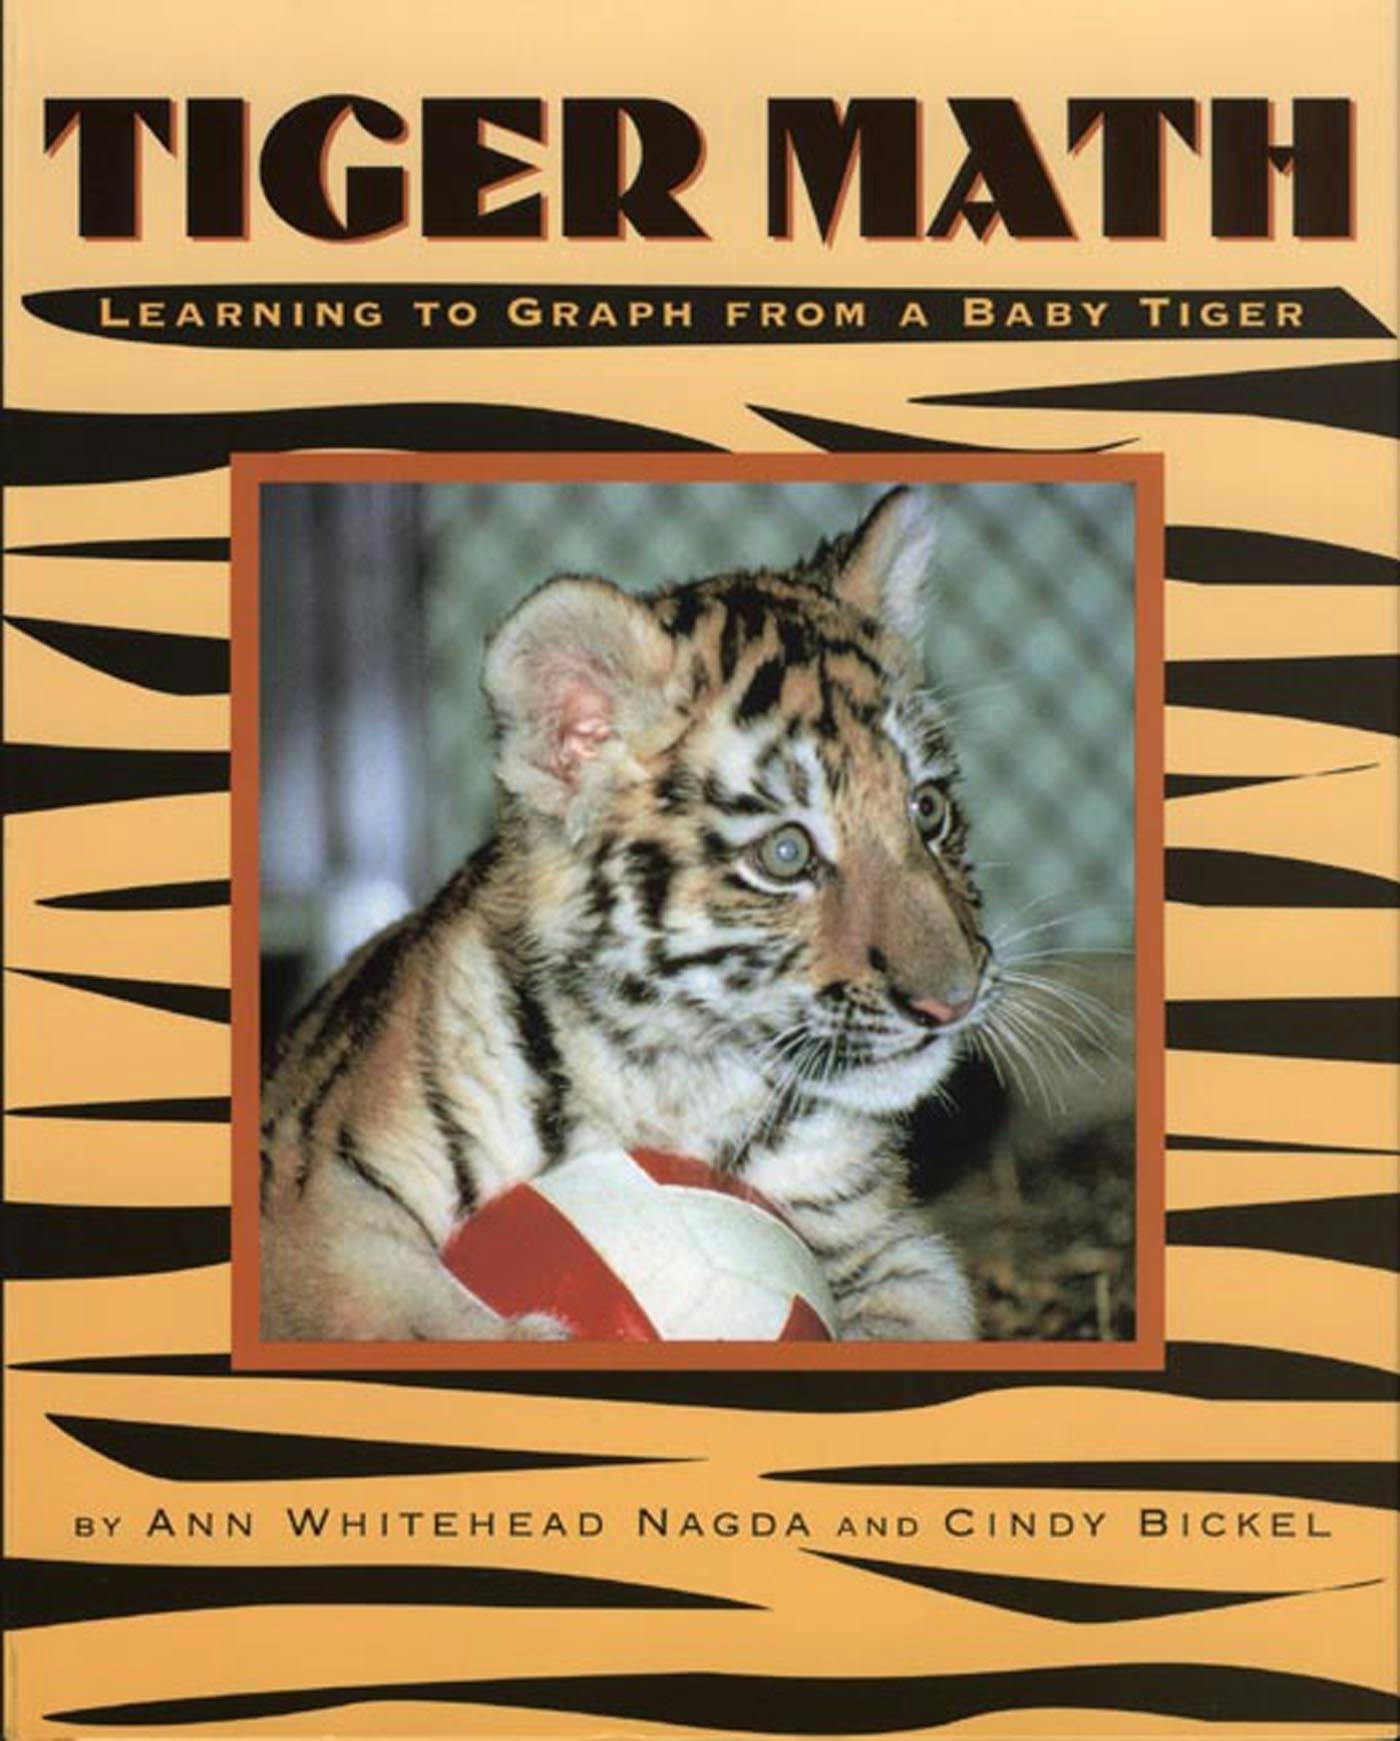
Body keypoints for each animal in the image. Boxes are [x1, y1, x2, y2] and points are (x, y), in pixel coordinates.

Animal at [259, 486, 991, 1341]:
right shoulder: (319, 1203)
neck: (678, 1082)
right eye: (785, 854)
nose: (955, 1000)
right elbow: (415, 1318)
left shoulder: (888, 1242)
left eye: (929, 809)